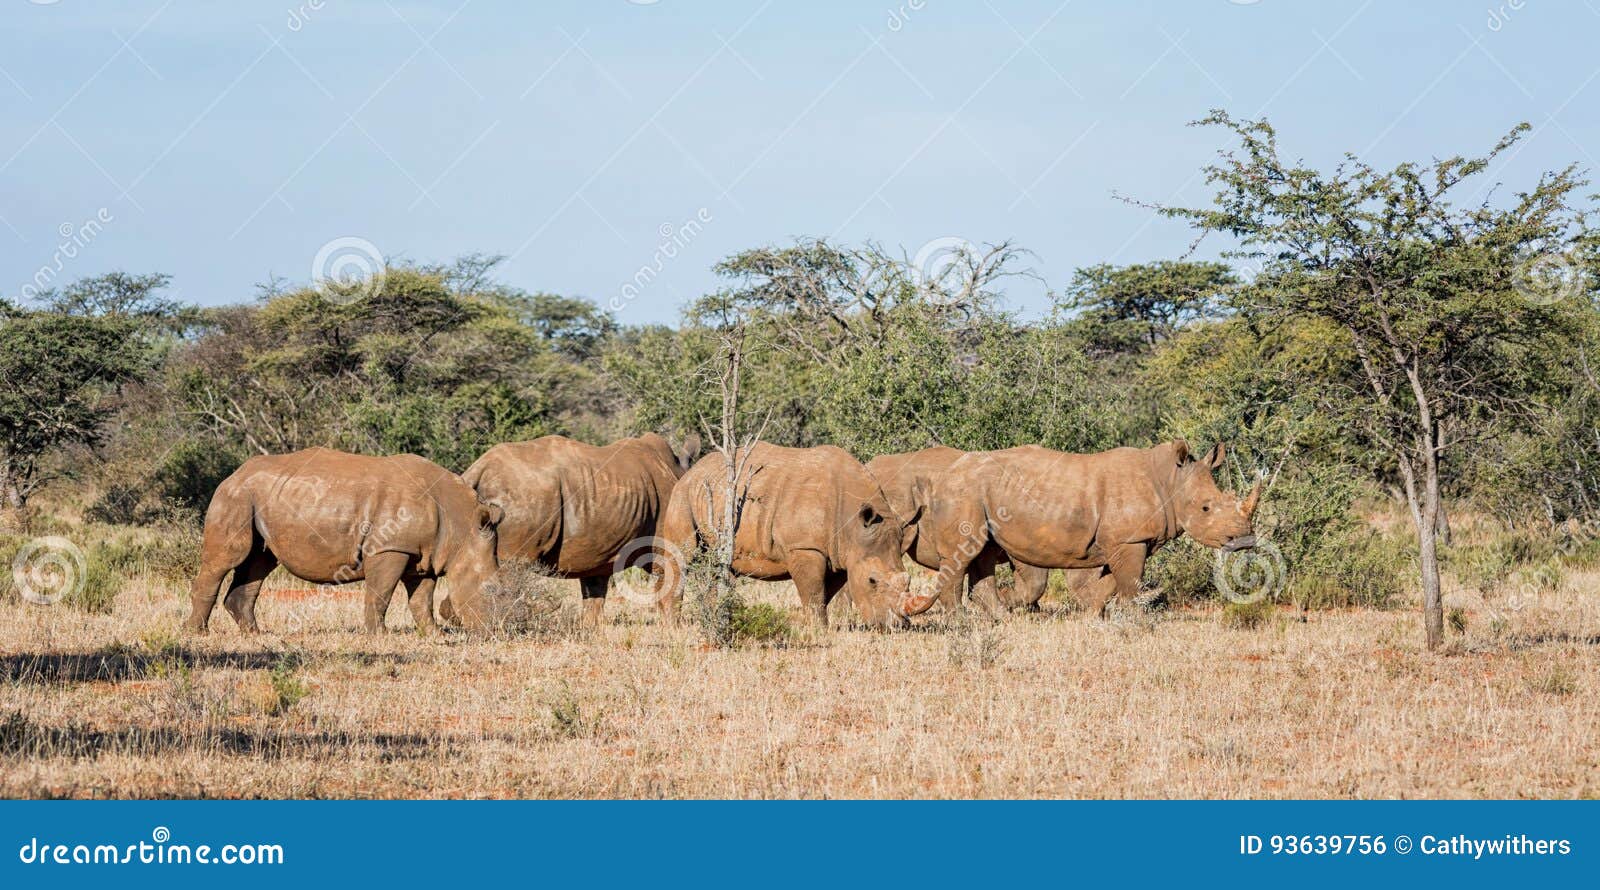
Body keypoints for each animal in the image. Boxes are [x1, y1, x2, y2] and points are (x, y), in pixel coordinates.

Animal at [185, 448, 503, 635]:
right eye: (490, 590)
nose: (494, 630)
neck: (461, 523)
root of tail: (233, 473)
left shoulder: (423, 554)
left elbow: (421, 598)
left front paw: (433, 635)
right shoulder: (390, 548)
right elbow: (380, 593)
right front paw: (379, 636)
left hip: (259, 496)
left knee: (259, 562)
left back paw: (254, 634)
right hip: (235, 497)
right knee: (227, 559)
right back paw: (198, 633)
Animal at [449, 433, 696, 629]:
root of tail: (477, 469)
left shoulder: (597, 551)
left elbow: (595, 593)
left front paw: (590, 629)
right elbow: (671, 580)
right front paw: (672, 627)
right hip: (523, 499)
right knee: (511, 567)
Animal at [655, 443, 913, 628]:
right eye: (872, 581)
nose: (895, 626)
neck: (854, 527)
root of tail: (693, 469)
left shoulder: (840, 553)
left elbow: (823, 594)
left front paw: (814, 626)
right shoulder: (804, 547)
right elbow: (814, 592)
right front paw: (819, 630)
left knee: (718, 566)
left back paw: (713, 620)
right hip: (683, 495)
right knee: (682, 556)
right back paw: (674, 628)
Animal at [902, 440, 1260, 617]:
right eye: (1205, 508)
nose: (1244, 541)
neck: (1168, 478)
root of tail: (946, 473)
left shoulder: (1121, 540)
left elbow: (1109, 583)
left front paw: (1093, 614)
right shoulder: (1129, 539)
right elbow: (1129, 584)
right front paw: (1133, 622)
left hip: (978, 493)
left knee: (983, 553)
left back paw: (1002, 618)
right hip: (963, 491)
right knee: (964, 553)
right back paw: (961, 622)